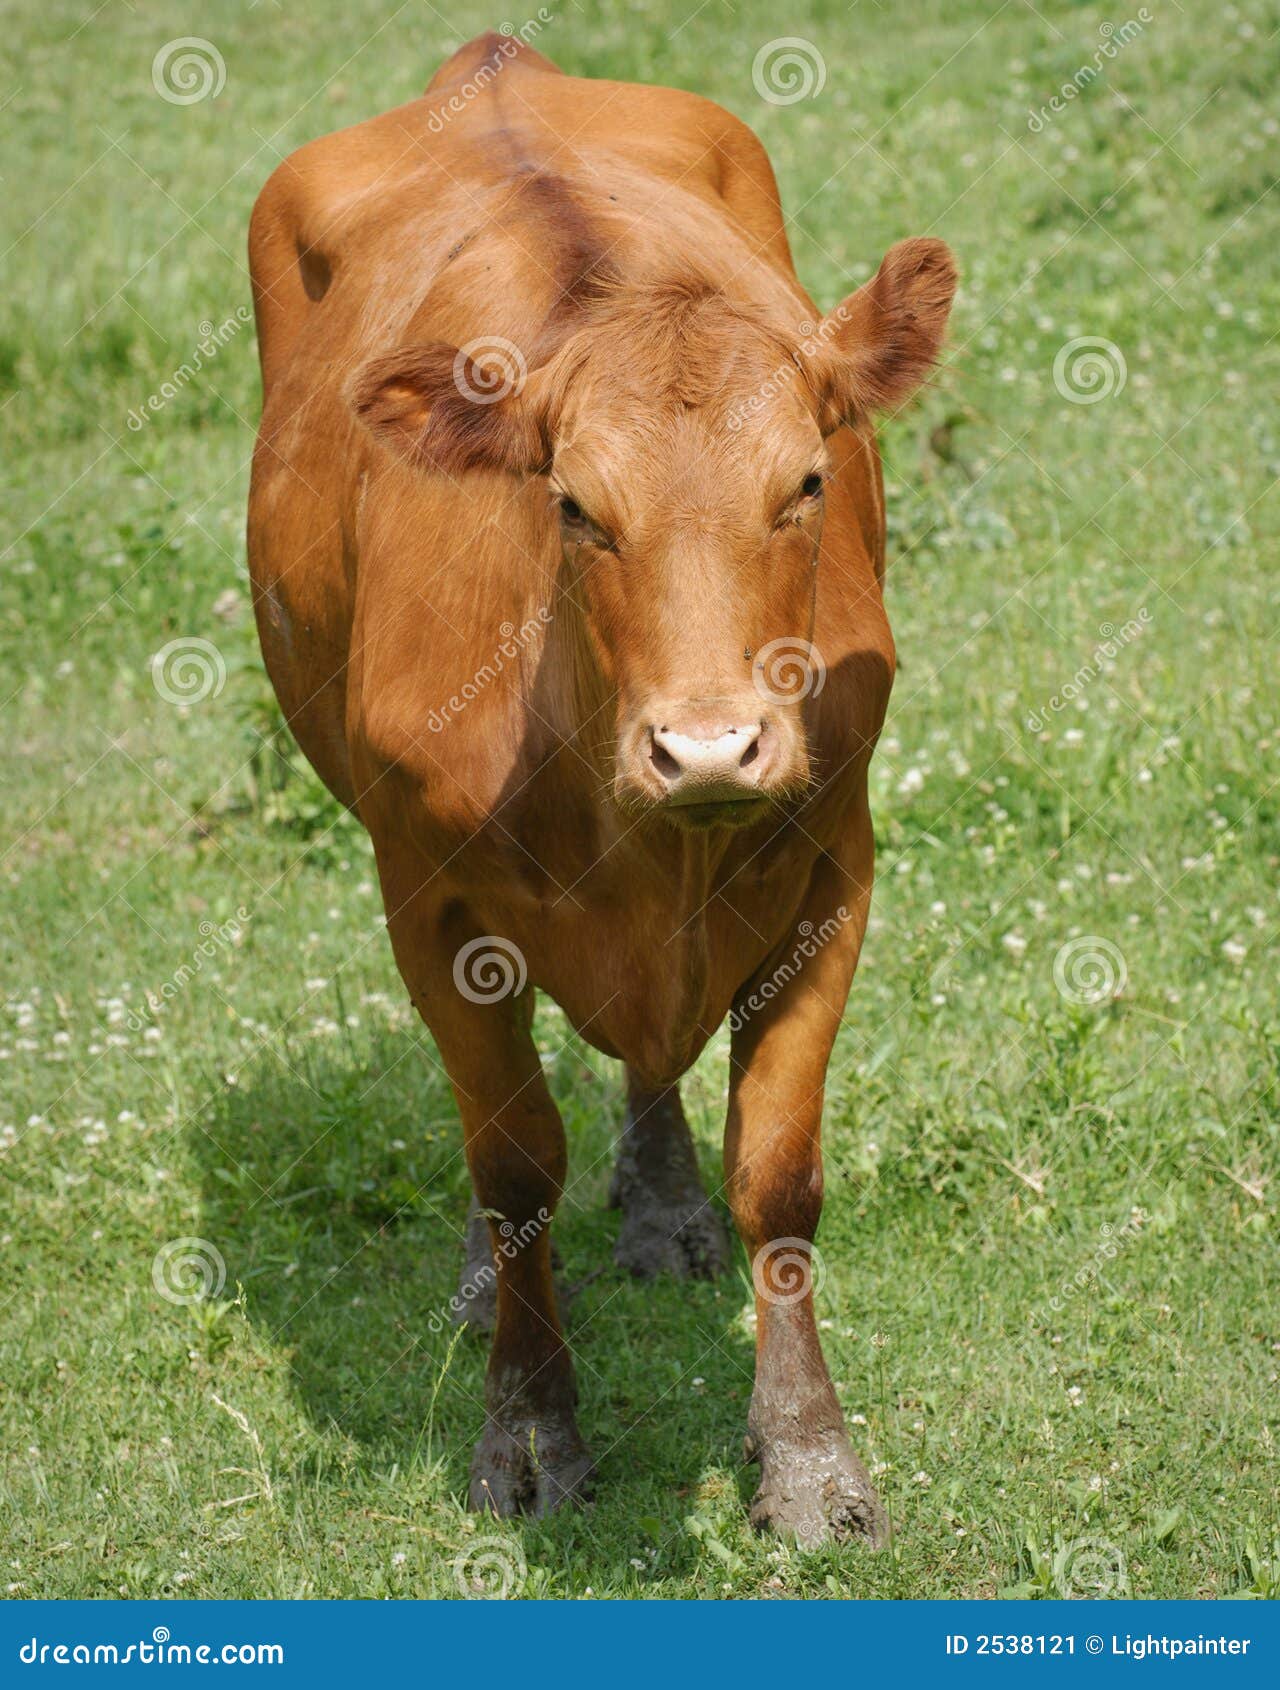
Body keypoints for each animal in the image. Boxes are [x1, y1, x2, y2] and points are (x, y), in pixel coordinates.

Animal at [247, 31, 956, 1545]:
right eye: (573, 504)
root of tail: (496, 61)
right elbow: (514, 1163)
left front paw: (808, 1458)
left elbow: (778, 1167)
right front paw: (528, 1432)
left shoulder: (835, 866)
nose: (708, 747)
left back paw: (664, 1204)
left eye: (808, 481)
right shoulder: (429, 899)